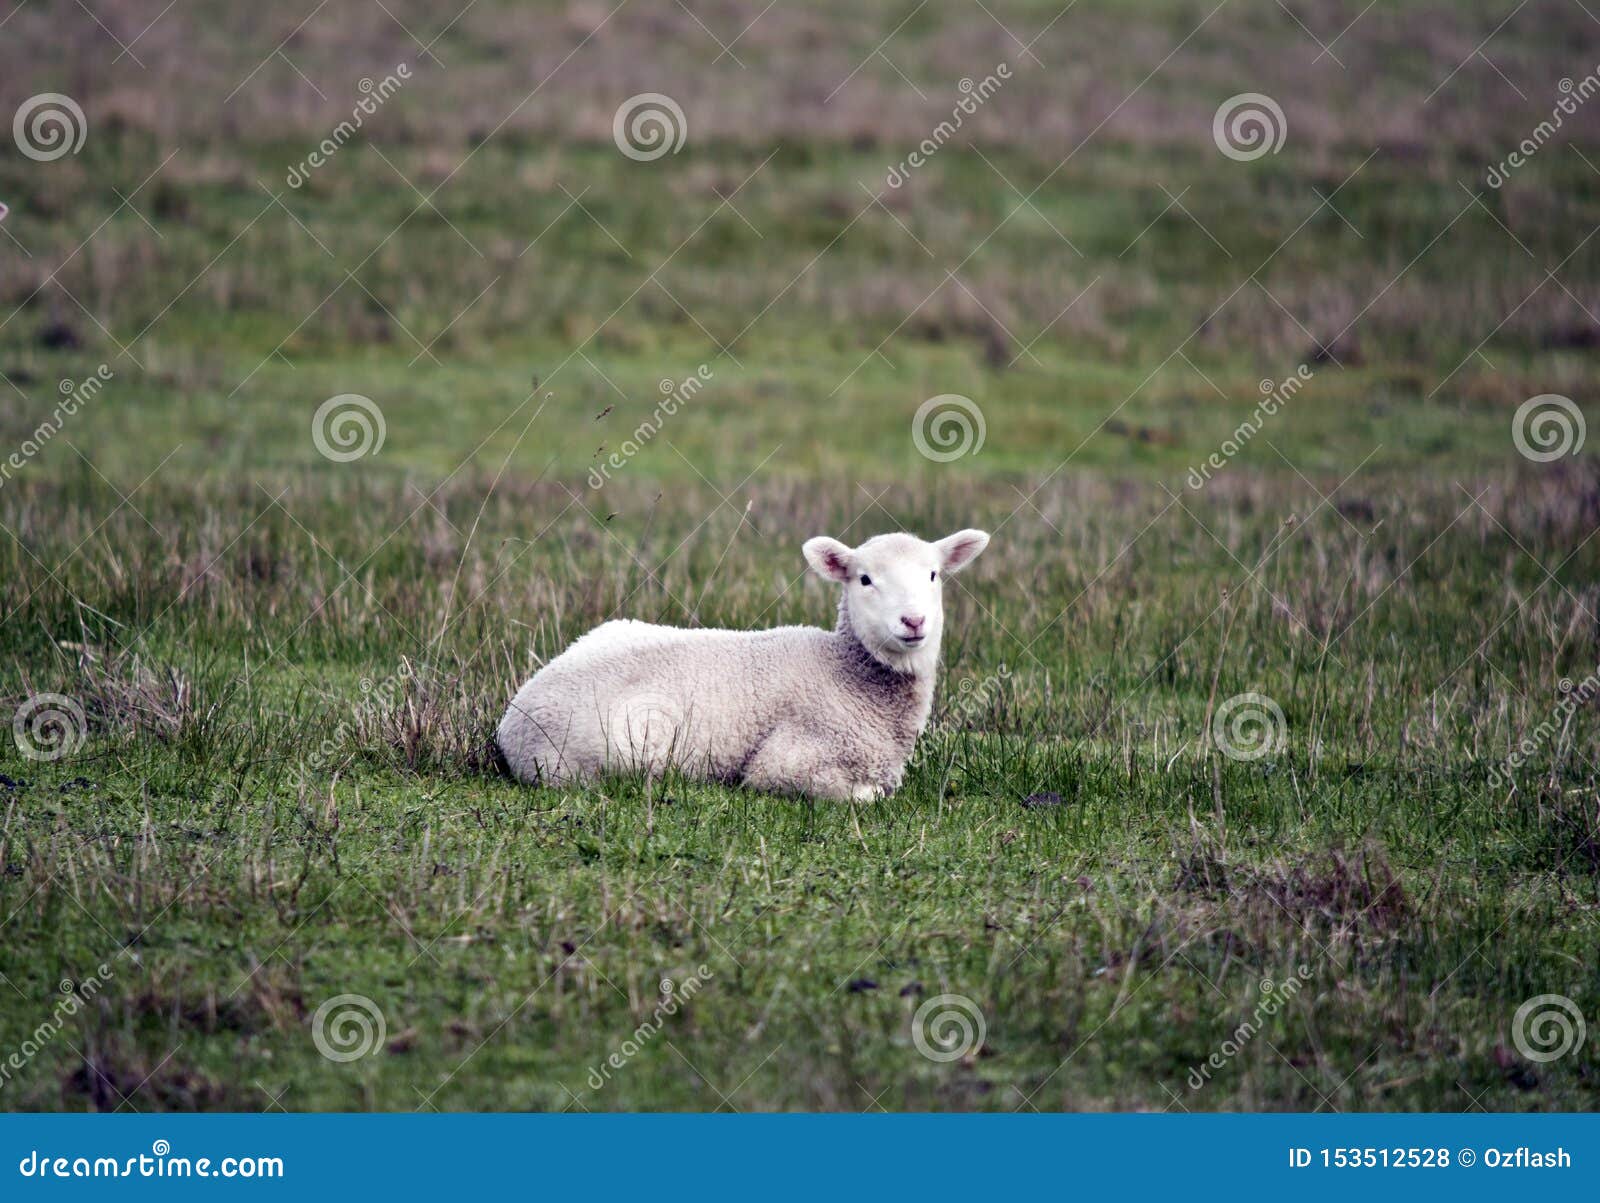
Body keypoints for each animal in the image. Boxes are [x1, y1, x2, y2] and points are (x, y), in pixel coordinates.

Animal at [496, 528, 991, 799]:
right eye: (865, 579)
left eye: (933, 575)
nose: (914, 620)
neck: (846, 673)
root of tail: (514, 716)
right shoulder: (788, 763)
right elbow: (864, 796)